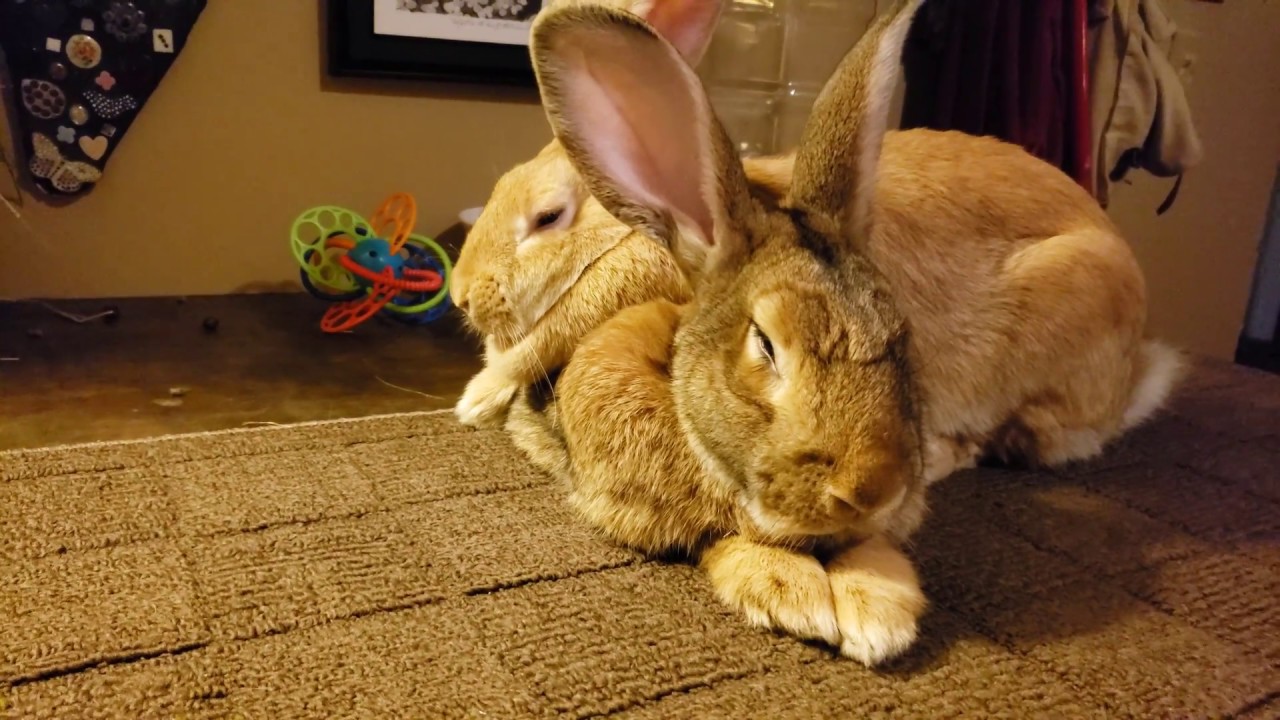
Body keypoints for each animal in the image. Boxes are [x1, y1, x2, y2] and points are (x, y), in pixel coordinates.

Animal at [519, 0, 1185, 666]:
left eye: (901, 331)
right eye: (764, 345)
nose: (872, 487)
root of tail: (1136, 373)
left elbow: (871, 552)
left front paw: (878, 610)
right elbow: (728, 541)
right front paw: (793, 593)